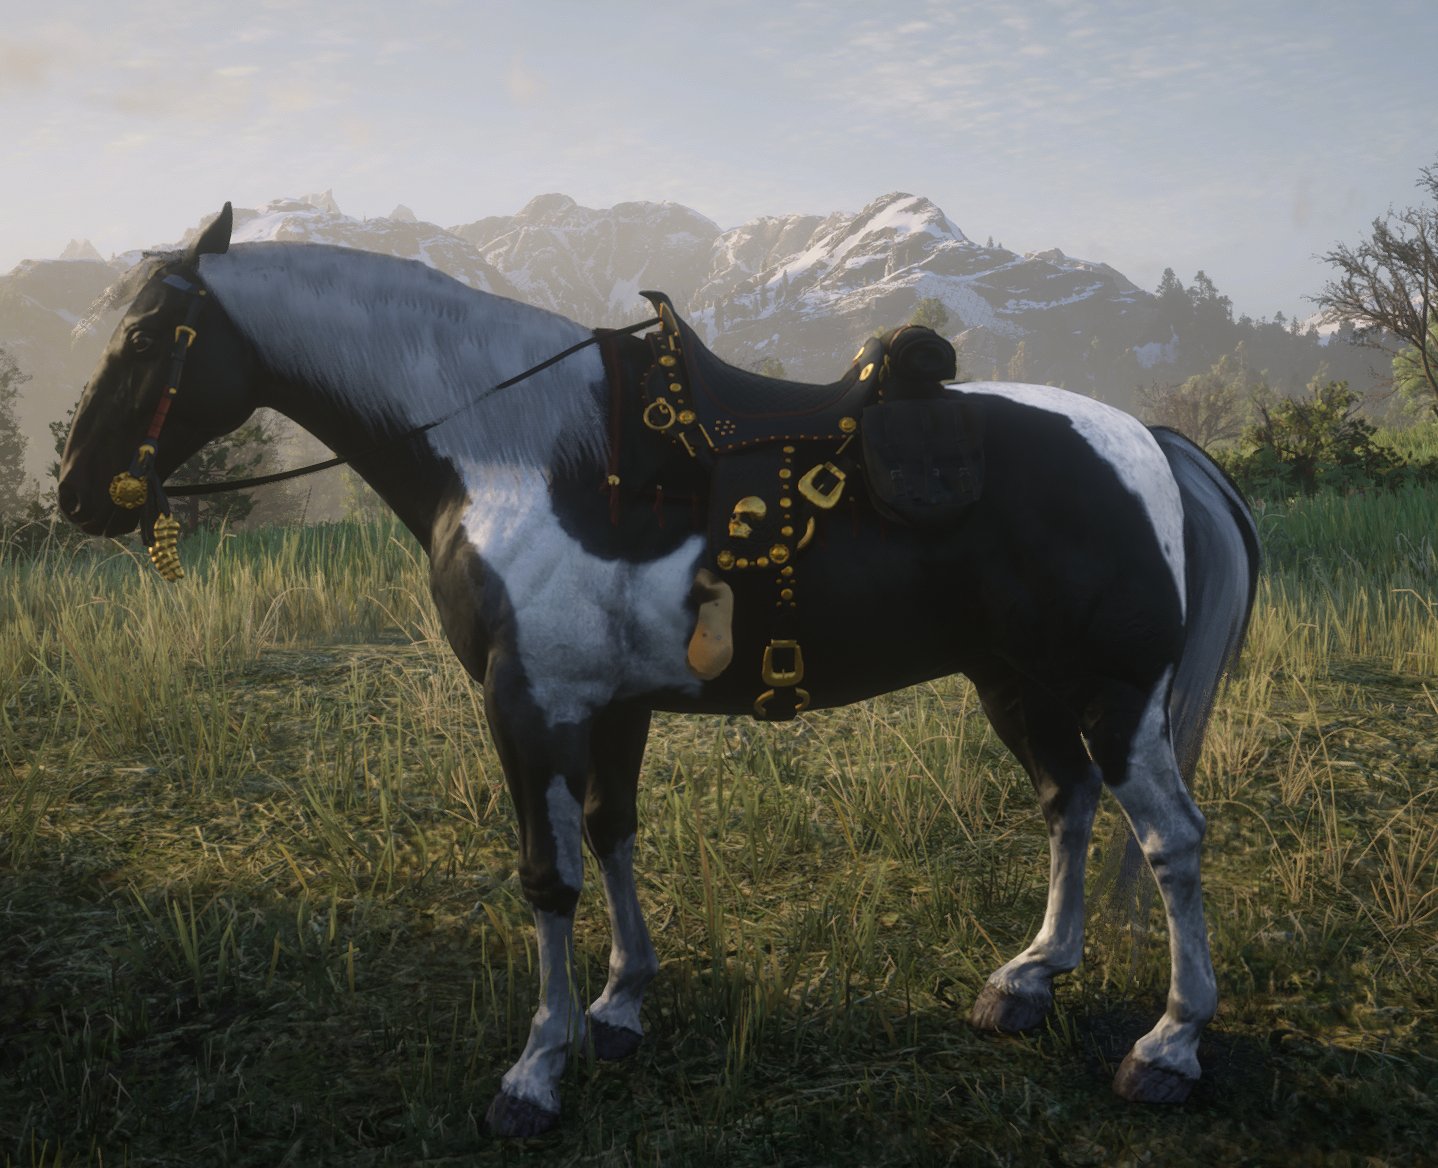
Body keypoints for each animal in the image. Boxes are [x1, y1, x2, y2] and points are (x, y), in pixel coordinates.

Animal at [59, 204, 1260, 1137]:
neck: (514, 446)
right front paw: (621, 1005)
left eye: (152, 331)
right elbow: (612, 833)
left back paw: (1169, 1045)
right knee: (1068, 801)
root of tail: (1147, 442)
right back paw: (1029, 978)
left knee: (1170, 840)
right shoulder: (607, 704)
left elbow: (548, 877)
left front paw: (536, 1071)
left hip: (1115, 695)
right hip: (1014, 681)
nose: (76, 488)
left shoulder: (526, 704)